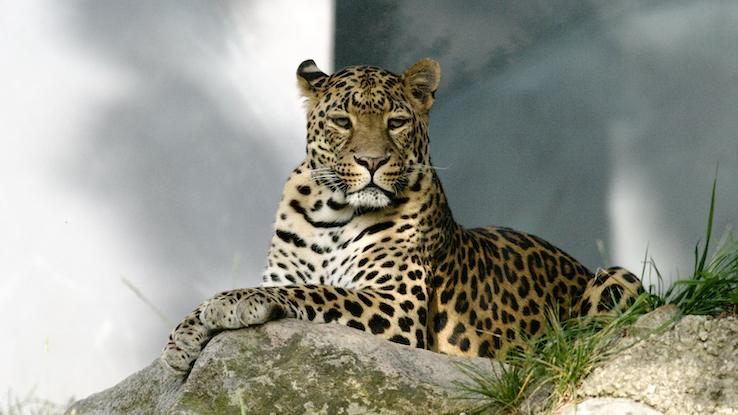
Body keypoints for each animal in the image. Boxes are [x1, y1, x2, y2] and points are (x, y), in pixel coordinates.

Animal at [161, 58, 643, 375]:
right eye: (342, 120)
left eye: (395, 122)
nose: (372, 161)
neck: (332, 214)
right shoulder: (288, 271)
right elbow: (291, 284)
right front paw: (181, 339)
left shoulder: (396, 305)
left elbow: (316, 291)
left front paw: (233, 301)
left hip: (617, 278)